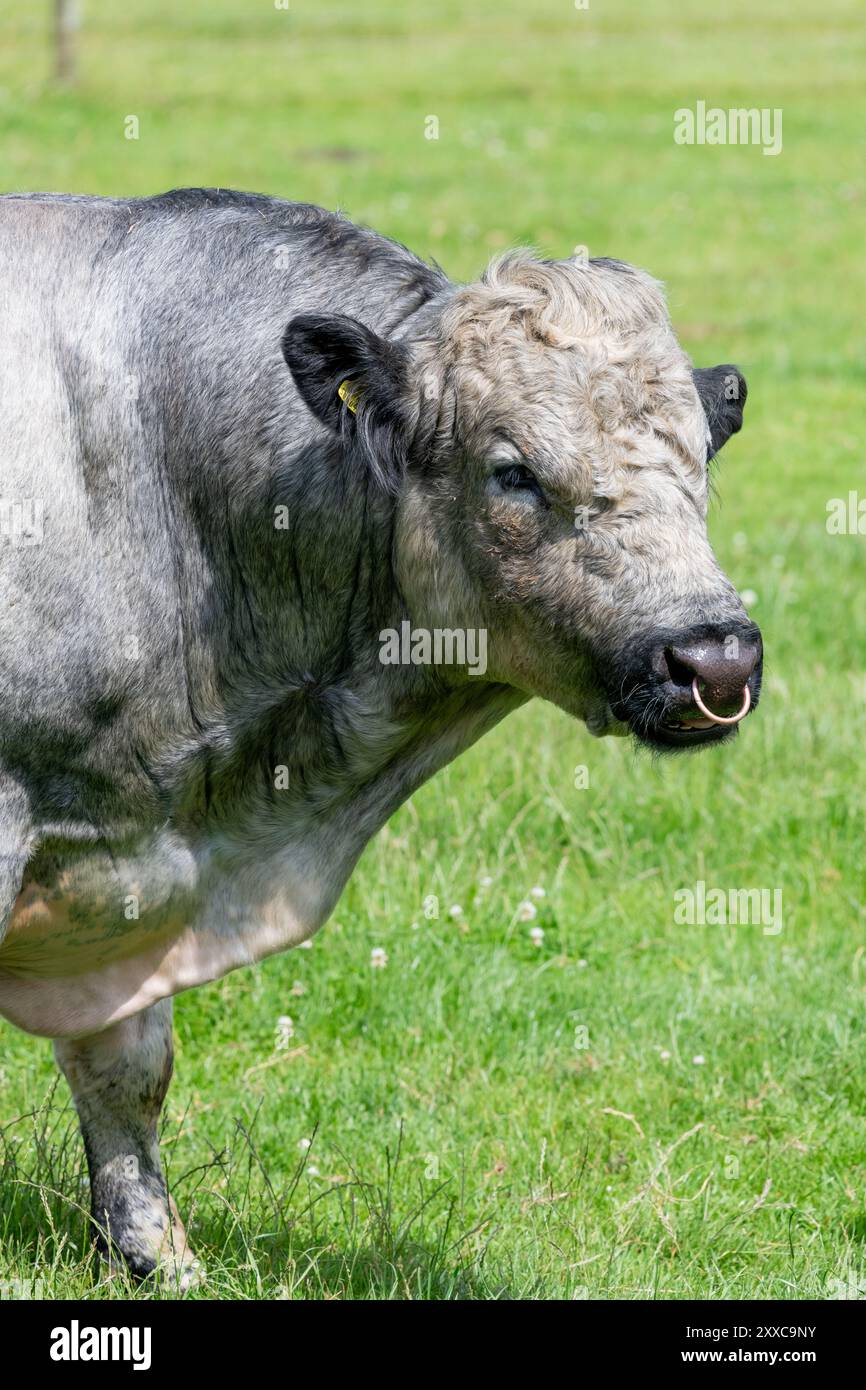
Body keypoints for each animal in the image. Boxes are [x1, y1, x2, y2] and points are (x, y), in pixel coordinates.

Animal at [0, 188, 762, 1284]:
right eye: (513, 472)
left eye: (701, 454)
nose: (715, 659)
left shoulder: (130, 859)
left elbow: (127, 1073)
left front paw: (154, 1254)